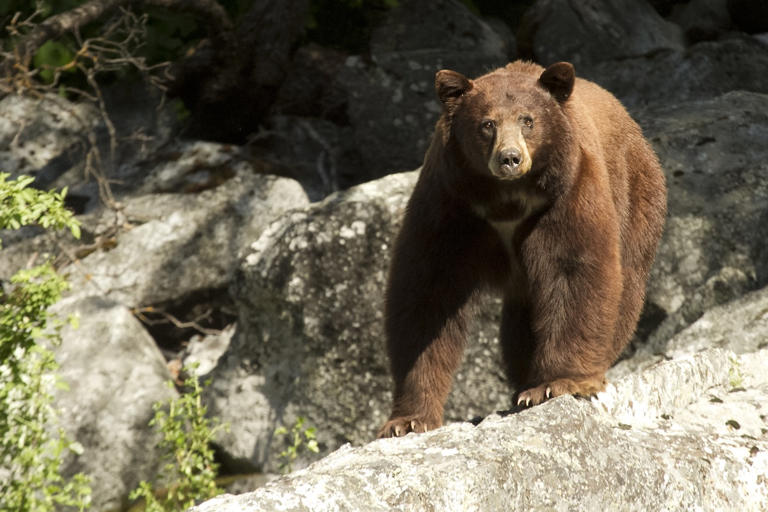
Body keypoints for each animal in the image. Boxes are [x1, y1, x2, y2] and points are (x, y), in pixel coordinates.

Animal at [377, 60, 667, 438]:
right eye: (487, 124)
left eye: (528, 120)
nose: (510, 158)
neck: (507, 200)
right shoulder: (450, 204)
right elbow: (426, 293)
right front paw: (408, 420)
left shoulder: (565, 195)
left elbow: (574, 271)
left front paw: (557, 383)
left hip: (636, 199)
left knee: (625, 290)